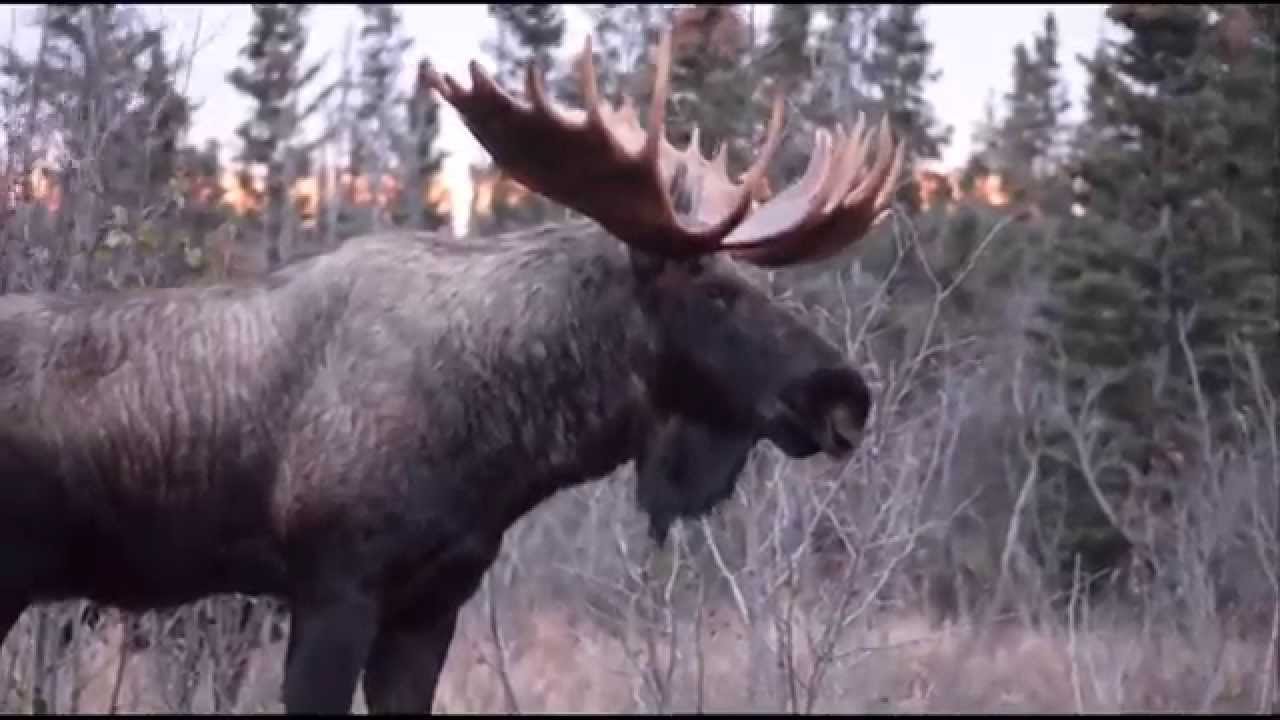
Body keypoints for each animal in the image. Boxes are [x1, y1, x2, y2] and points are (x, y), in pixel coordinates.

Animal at [0, 27, 903, 714]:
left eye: (764, 283)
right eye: (714, 290)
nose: (846, 396)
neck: (503, 444)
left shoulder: (431, 603)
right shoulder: (334, 585)